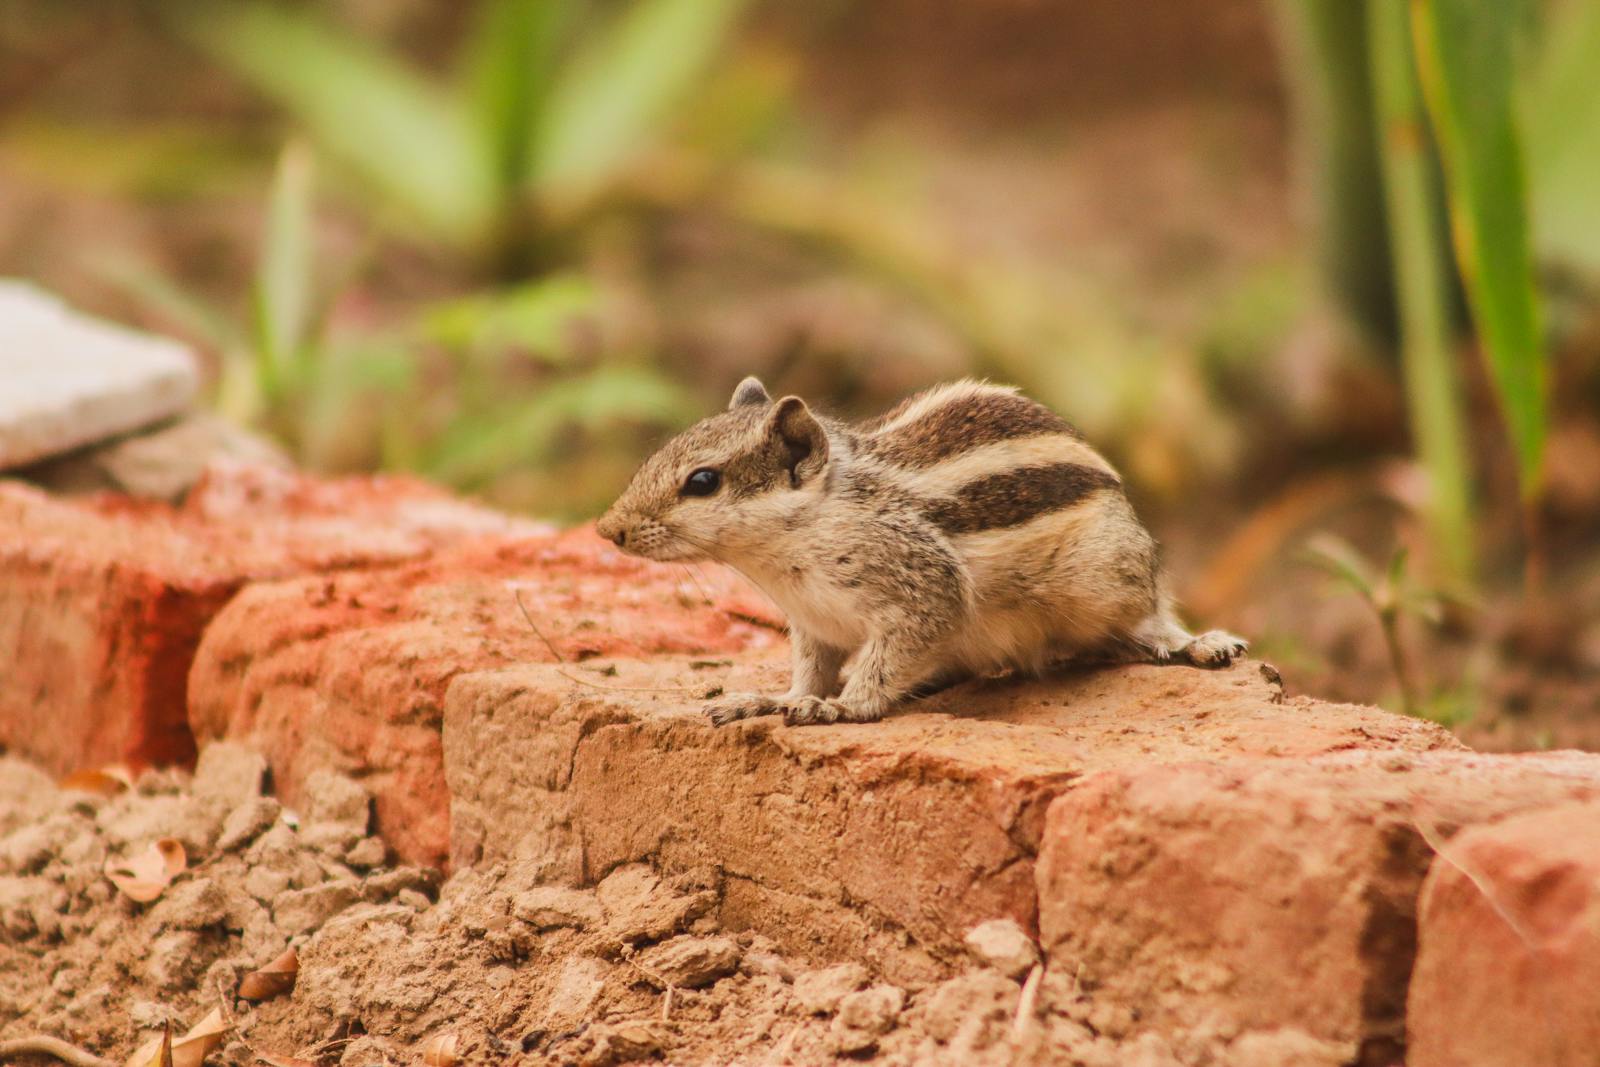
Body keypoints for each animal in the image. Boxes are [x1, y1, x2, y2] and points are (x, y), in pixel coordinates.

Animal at [596, 377, 1247, 727]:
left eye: (703, 481)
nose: (608, 530)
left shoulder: (922, 594)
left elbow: (884, 662)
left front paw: (841, 708)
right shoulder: (813, 627)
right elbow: (809, 673)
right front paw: (774, 701)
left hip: (1106, 579)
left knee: (1148, 620)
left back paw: (1197, 644)